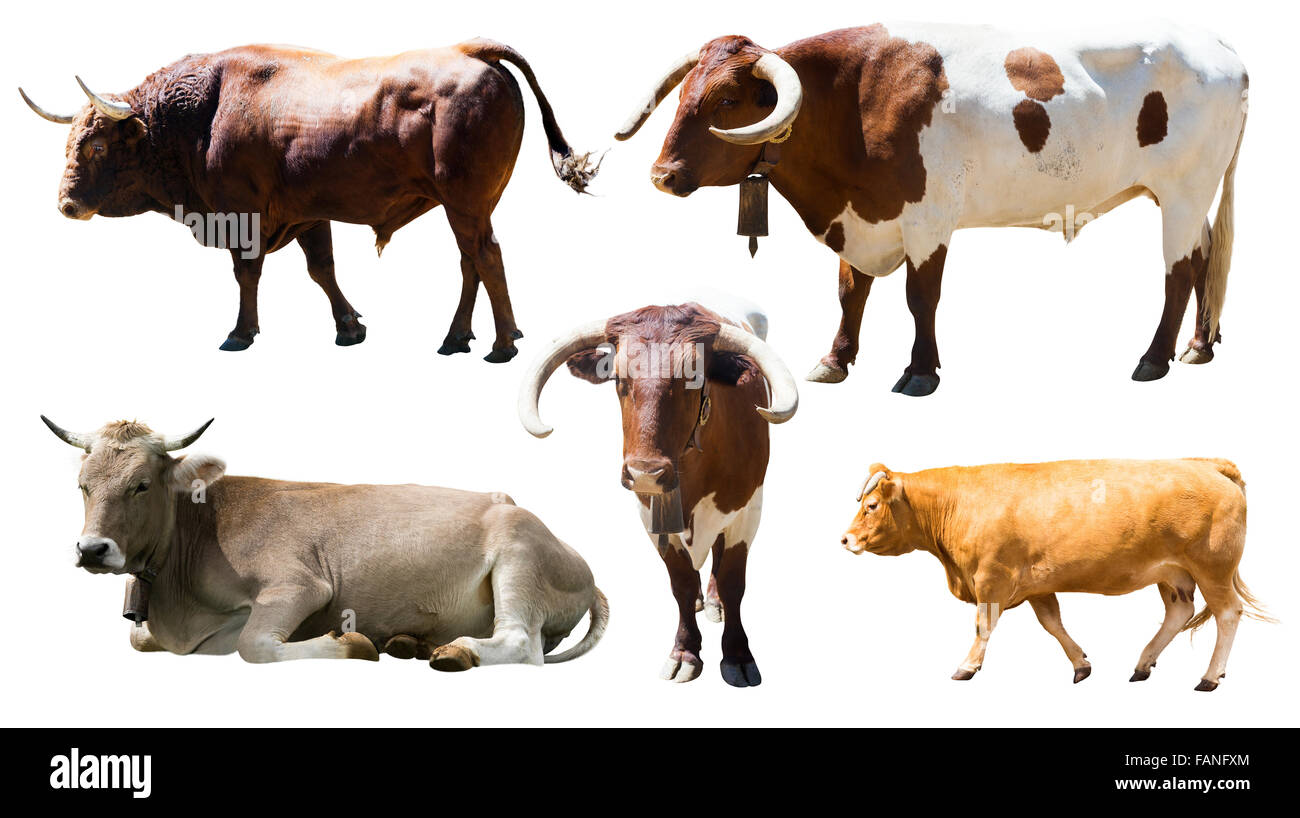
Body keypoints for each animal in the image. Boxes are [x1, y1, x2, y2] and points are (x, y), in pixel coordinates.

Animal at [20, 40, 599, 360]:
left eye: (96, 144)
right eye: (69, 142)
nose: (66, 205)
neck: (201, 115)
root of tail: (467, 50)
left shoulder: (243, 217)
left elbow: (247, 273)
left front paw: (240, 333)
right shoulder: (309, 213)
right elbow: (322, 269)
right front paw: (350, 328)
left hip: (465, 203)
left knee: (485, 257)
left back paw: (501, 346)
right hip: (468, 207)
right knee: (470, 262)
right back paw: (458, 338)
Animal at [41, 415, 607, 671]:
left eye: (141, 484)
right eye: (82, 485)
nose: (92, 550)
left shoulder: (300, 585)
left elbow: (253, 644)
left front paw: (352, 643)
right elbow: (142, 639)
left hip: (519, 554)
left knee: (522, 644)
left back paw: (453, 652)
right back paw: (410, 643)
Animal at [517, 299, 797, 686]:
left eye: (694, 378)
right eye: (619, 378)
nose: (645, 473)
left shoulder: (748, 512)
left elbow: (732, 582)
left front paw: (738, 655)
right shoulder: (650, 517)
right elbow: (681, 584)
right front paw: (685, 653)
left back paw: (713, 601)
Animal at [616, 23, 1248, 395]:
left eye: (727, 100)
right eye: (684, 94)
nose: (661, 175)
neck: (849, 103)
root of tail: (1222, 50)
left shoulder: (927, 219)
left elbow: (920, 297)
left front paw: (920, 370)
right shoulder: (862, 218)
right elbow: (851, 292)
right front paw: (836, 360)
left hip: (1184, 192)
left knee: (1179, 272)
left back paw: (1155, 358)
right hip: (1192, 197)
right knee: (1204, 260)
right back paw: (1197, 347)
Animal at [840, 458, 1271, 690]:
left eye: (872, 505)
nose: (845, 538)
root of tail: (1206, 464)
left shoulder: (991, 579)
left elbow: (983, 626)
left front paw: (966, 667)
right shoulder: (1036, 585)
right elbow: (1052, 623)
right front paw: (1081, 664)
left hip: (1212, 567)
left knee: (1228, 613)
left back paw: (1210, 676)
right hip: (1174, 575)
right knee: (1179, 613)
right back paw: (1142, 664)